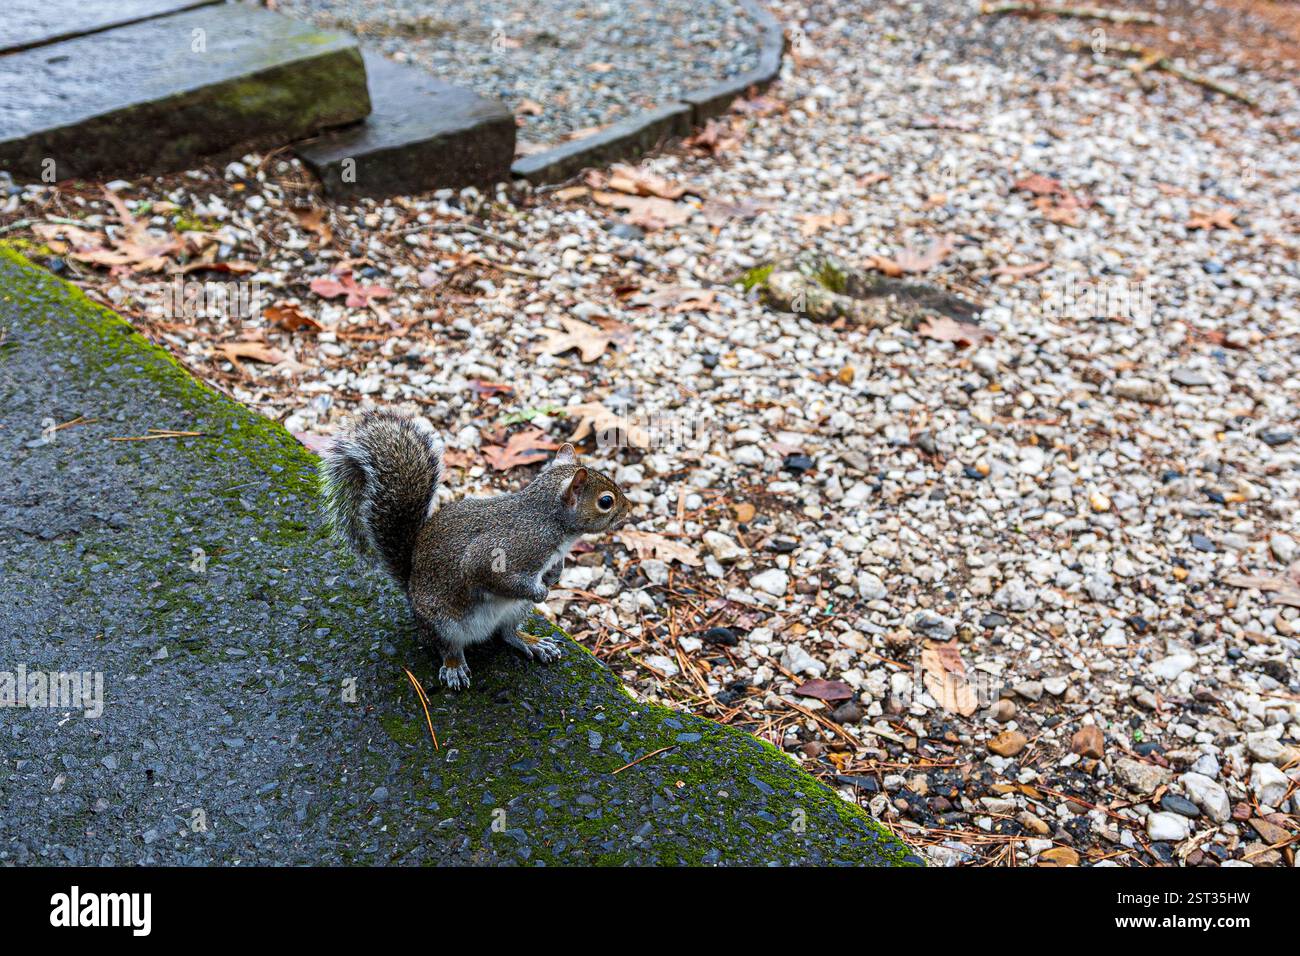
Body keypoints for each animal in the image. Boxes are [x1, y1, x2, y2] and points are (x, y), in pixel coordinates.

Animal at [319, 411, 631, 690]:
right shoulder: (502, 552)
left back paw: (531, 642)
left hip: (515, 611)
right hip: (443, 621)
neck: (548, 520)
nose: (629, 508)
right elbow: (493, 576)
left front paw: (554, 575)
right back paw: (454, 666)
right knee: (447, 646)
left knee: (506, 634)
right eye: (606, 501)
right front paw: (540, 591)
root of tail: (410, 586)